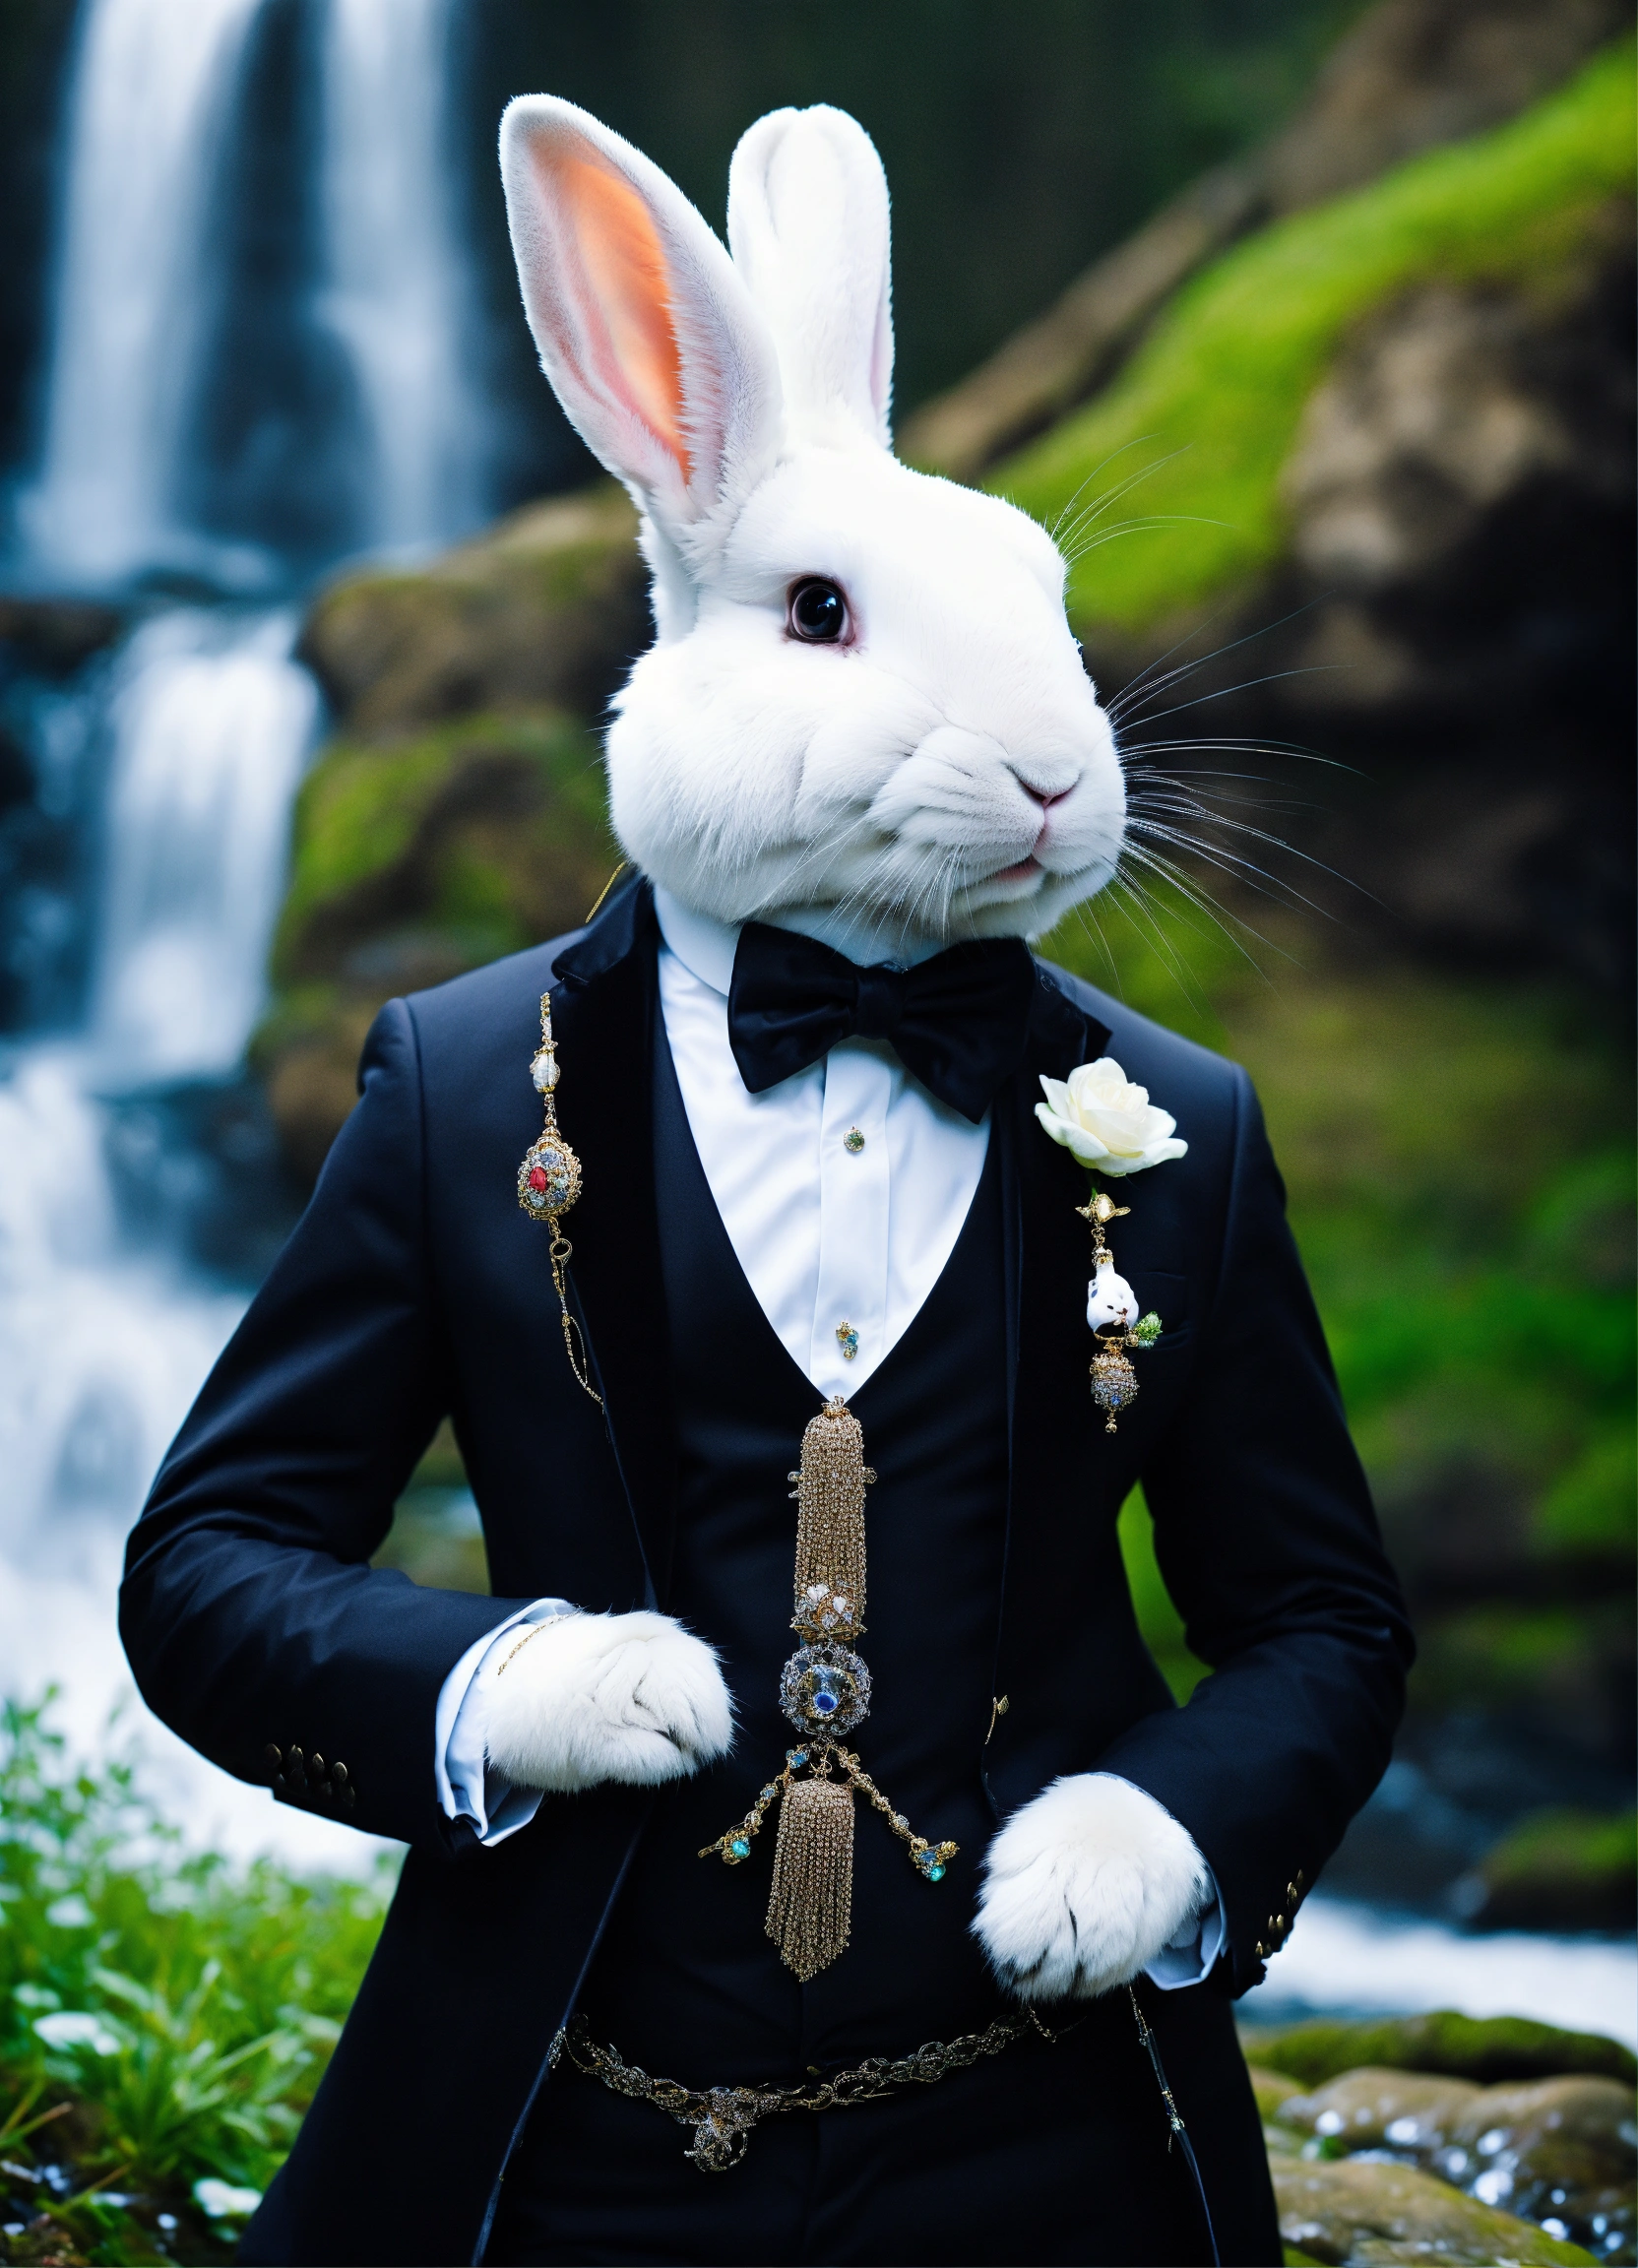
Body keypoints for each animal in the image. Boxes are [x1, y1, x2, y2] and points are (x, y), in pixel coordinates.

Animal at [492, 96, 1209, 2000]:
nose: (1055, 776)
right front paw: (618, 1692)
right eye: (816, 611)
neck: (860, 998)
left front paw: (1072, 1895)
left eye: (1048, 589)